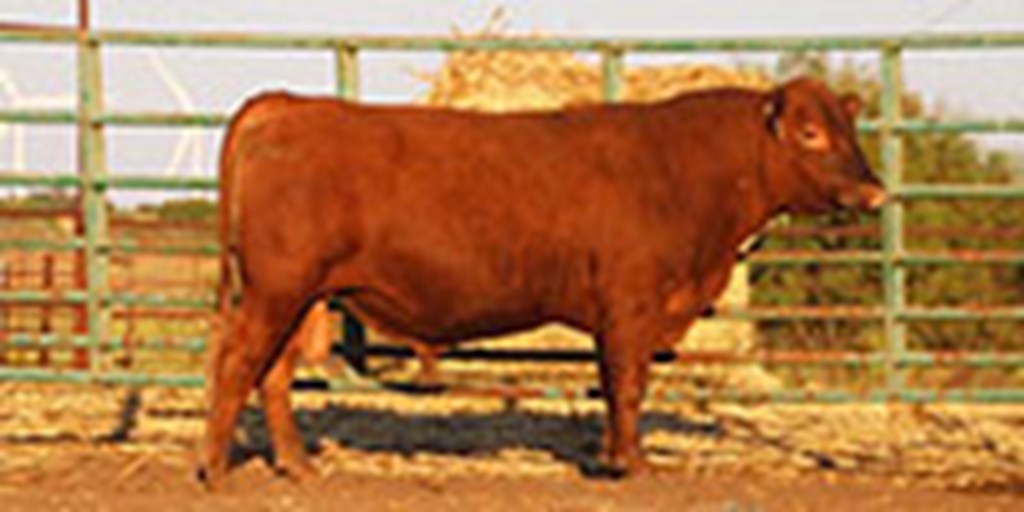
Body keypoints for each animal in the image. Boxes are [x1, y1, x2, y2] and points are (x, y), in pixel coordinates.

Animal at [201, 77, 886, 486]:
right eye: (810, 133)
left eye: (849, 130)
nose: (875, 192)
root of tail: (288, 103)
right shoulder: (630, 302)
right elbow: (628, 385)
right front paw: (634, 465)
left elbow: (612, 385)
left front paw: (612, 457)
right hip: (275, 289)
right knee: (235, 366)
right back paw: (215, 471)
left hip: (299, 297)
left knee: (272, 375)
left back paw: (297, 466)